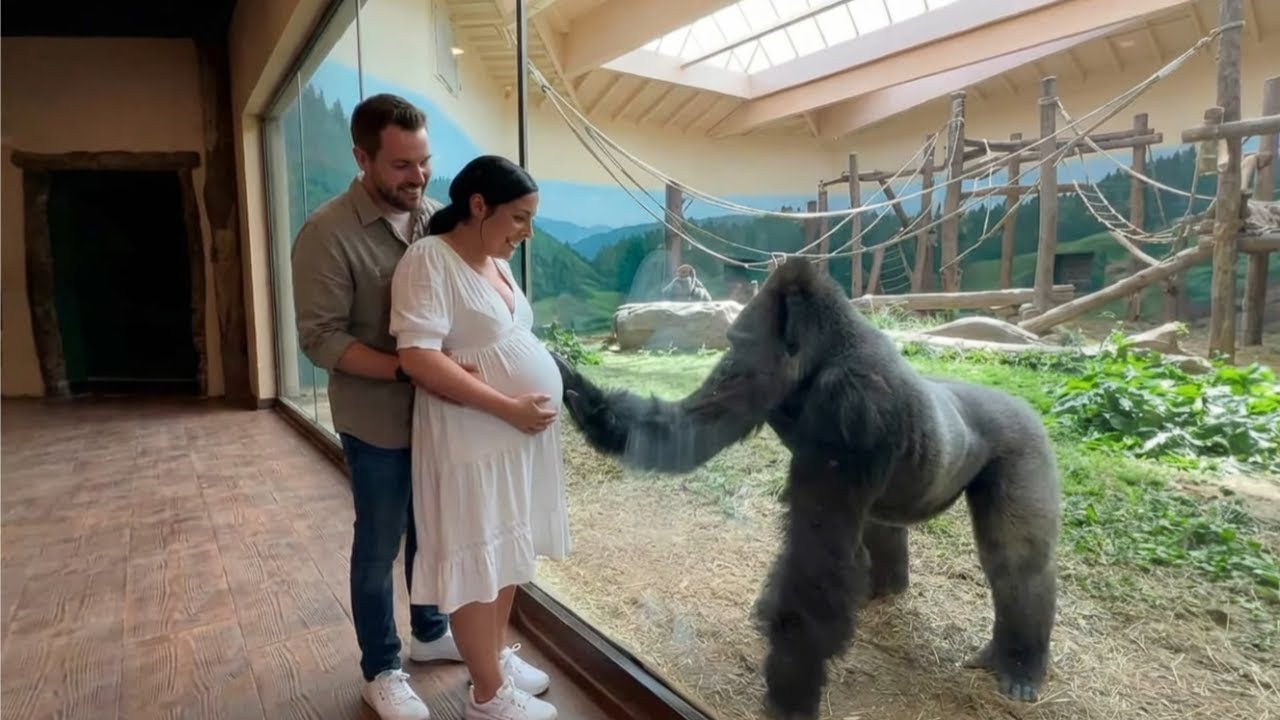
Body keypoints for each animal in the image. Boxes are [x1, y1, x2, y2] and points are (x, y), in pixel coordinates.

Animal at [550, 257, 1061, 720]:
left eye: (742, 342)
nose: (730, 362)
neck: (827, 354)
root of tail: (1022, 404)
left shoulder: (853, 403)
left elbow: (816, 561)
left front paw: (790, 691)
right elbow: (683, 432)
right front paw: (583, 397)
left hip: (1025, 443)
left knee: (1015, 563)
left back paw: (1020, 660)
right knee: (883, 529)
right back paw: (886, 587)